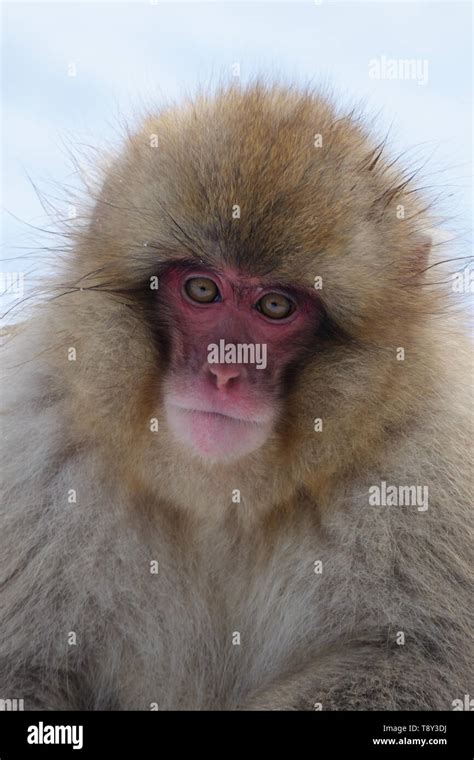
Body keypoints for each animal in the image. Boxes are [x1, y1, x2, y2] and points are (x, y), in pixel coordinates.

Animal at [0, 83, 472, 711]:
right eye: (203, 289)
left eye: (275, 306)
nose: (224, 372)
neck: (222, 497)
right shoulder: (38, 453)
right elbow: (27, 669)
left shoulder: (424, 475)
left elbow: (417, 662)